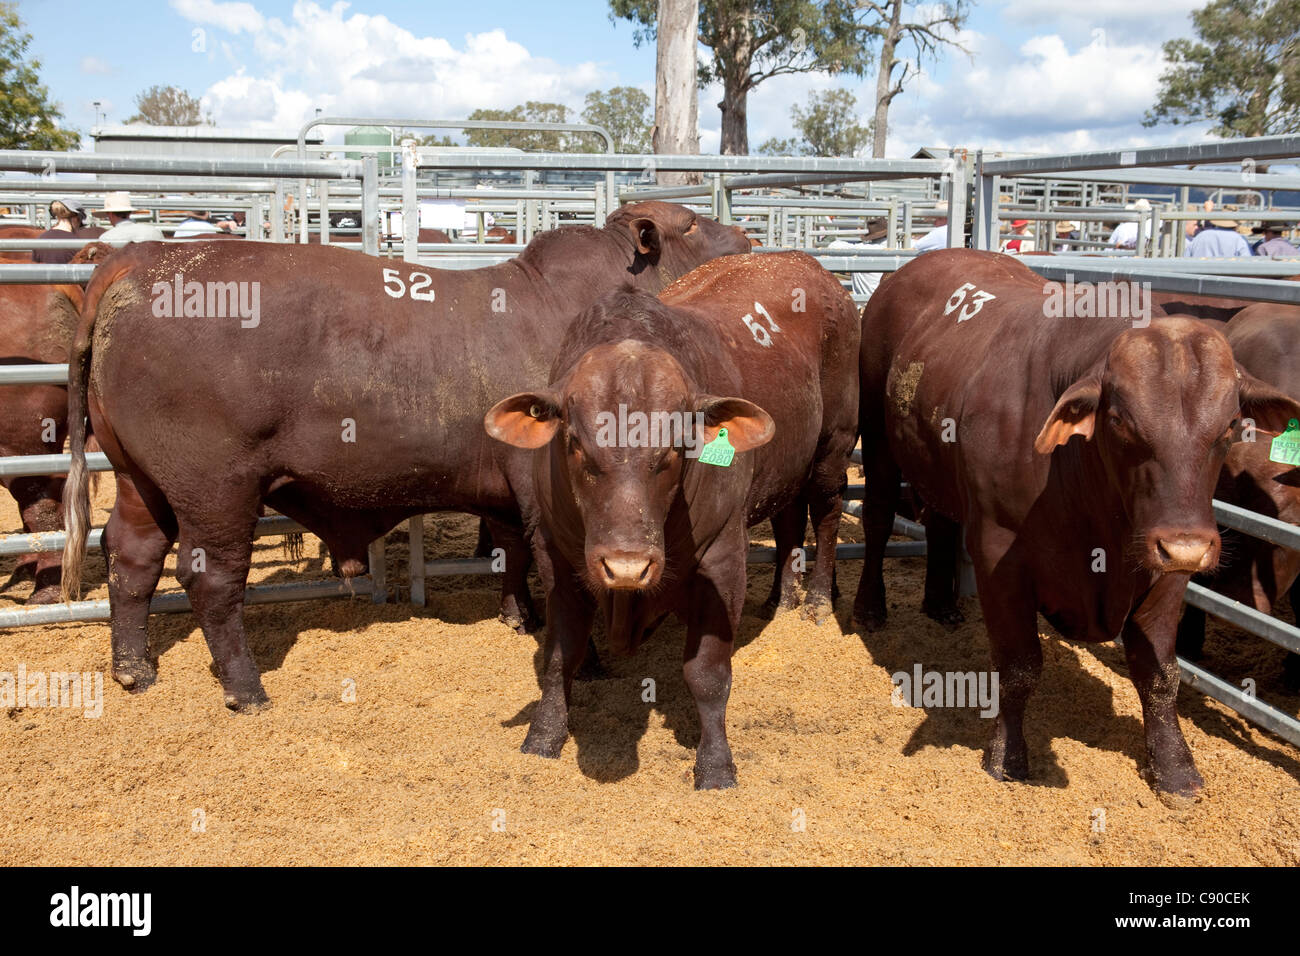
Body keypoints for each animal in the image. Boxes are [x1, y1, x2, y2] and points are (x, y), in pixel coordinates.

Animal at [61, 202, 750, 710]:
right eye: (691, 223)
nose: (745, 236)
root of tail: (136, 261)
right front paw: (588, 659)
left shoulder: (509, 488)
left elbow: (511, 549)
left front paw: (518, 615)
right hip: (216, 489)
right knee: (211, 579)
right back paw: (246, 689)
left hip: (139, 478)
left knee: (131, 554)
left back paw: (133, 669)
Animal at [483, 251, 860, 788]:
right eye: (574, 443)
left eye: (676, 446)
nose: (626, 567)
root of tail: (800, 260)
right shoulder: (556, 558)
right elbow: (560, 657)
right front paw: (543, 736)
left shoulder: (723, 560)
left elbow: (708, 673)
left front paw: (716, 764)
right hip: (789, 461)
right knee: (788, 520)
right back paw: (781, 597)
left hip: (834, 447)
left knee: (825, 516)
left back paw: (818, 602)